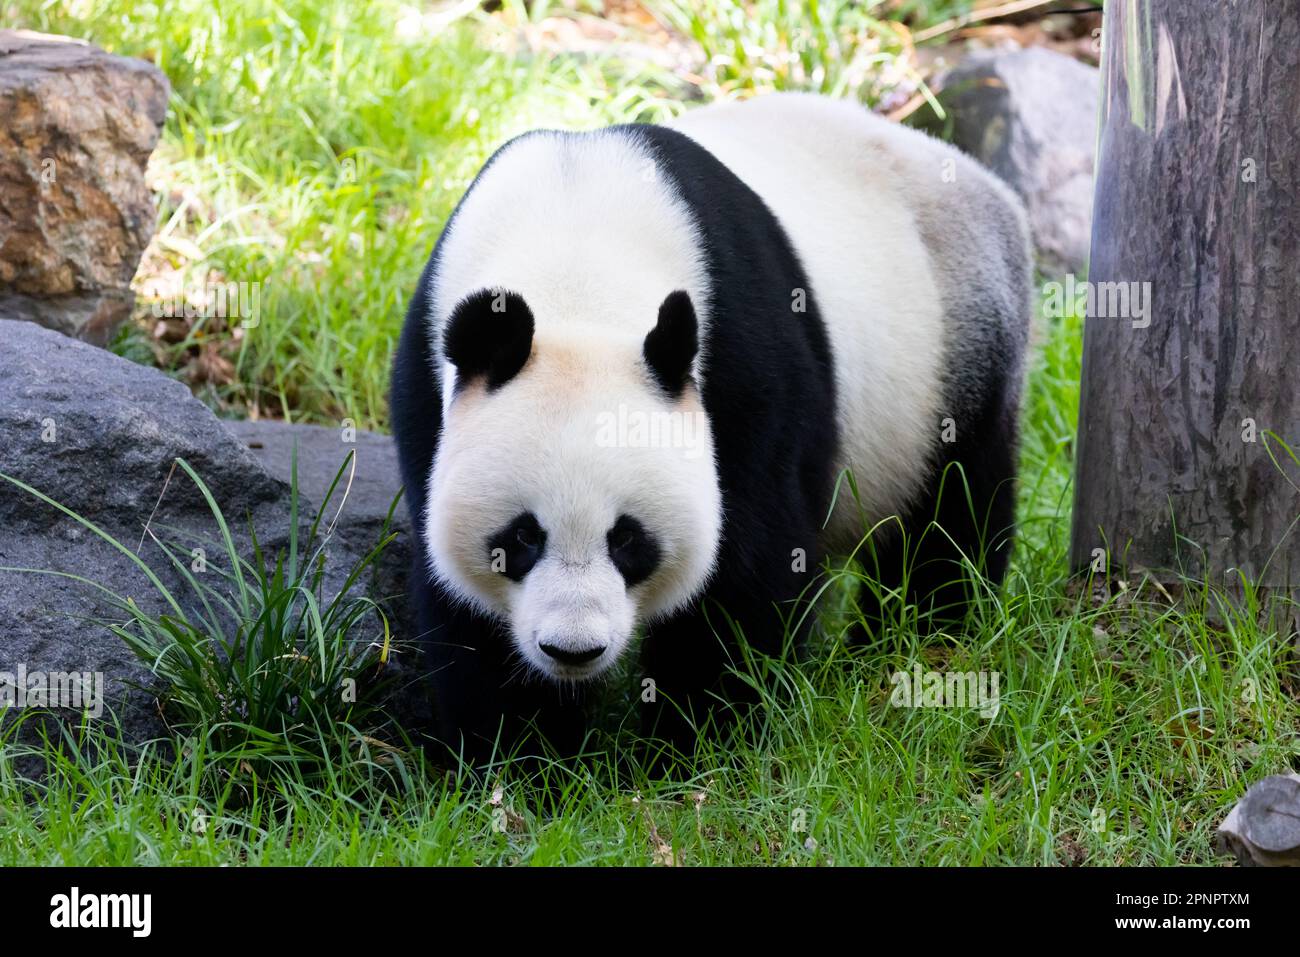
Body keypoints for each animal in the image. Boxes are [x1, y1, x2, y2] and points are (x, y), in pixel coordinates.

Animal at [390, 93, 1032, 765]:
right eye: (521, 537)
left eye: (628, 538)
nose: (573, 650)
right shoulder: (426, 387)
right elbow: (464, 609)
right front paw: (521, 758)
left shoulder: (745, 361)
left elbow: (747, 565)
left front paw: (702, 746)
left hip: (951, 359)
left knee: (950, 514)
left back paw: (922, 641)